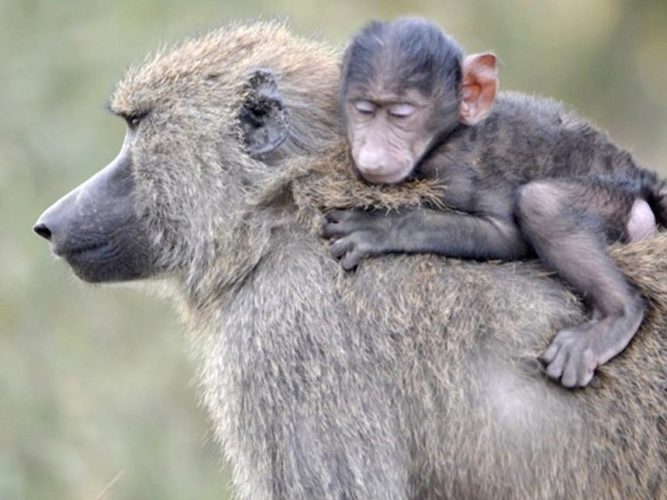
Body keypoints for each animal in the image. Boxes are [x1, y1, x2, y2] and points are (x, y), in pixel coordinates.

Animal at [321, 17, 667, 388]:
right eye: (363, 110)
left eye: (401, 114)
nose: (372, 153)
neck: (448, 136)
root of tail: (642, 176)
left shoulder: (461, 168)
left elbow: (507, 236)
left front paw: (381, 227)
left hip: (618, 200)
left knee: (542, 204)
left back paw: (618, 314)